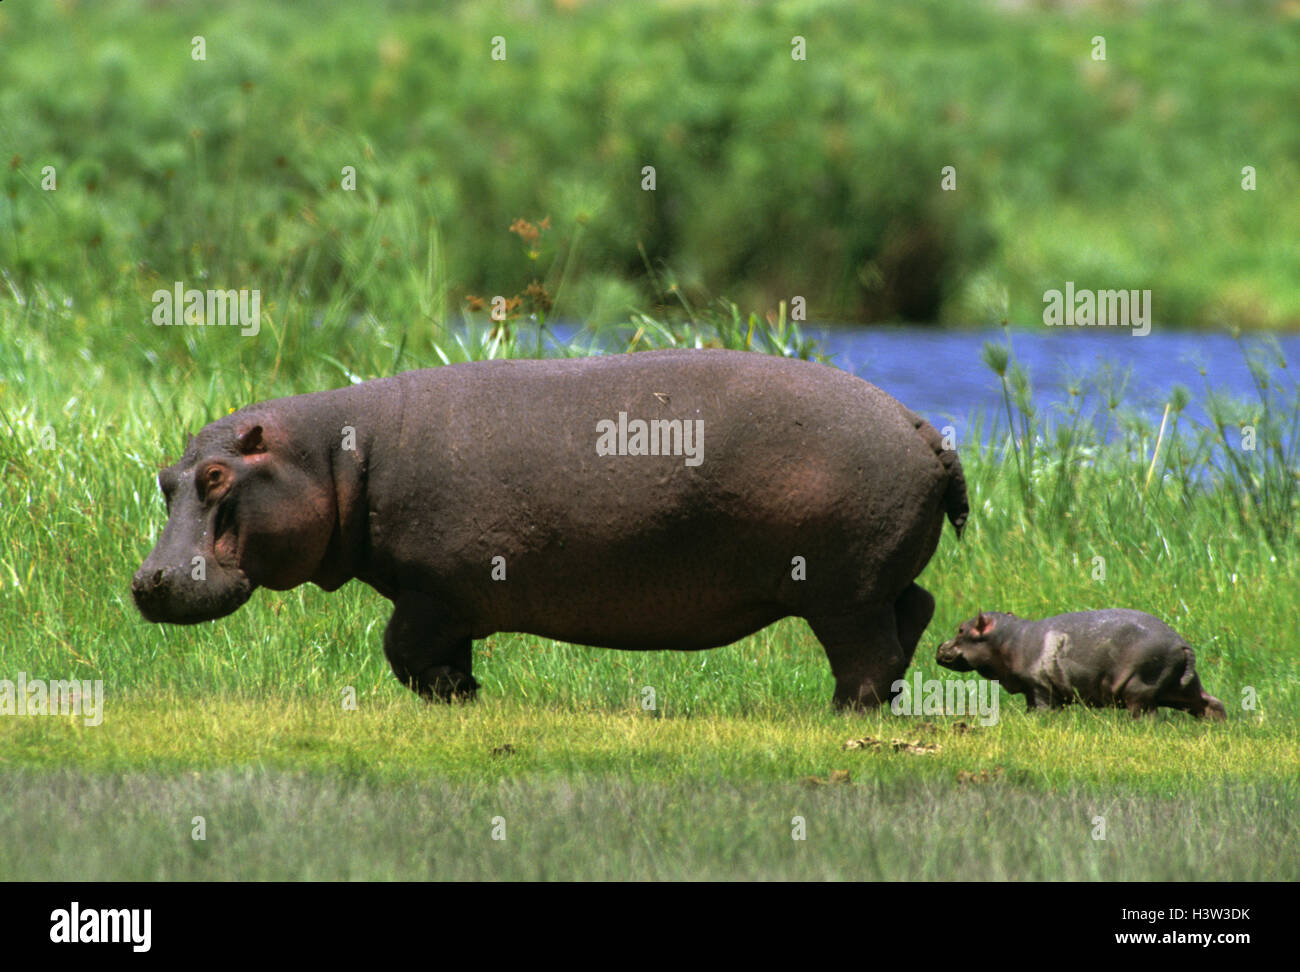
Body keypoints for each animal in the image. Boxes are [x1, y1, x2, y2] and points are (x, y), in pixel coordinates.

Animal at [133, 348, 968, 709]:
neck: (334, 456)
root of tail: (920, 423)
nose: (147, 581)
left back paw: (842, 711)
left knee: (869, 650)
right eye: (167, 478)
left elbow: (403, 649)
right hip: (873, 581)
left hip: (842, 592)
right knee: (915, 610)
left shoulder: (434, 590)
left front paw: (457, 695)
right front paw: (462, 695)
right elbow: (430, 651)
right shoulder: (446, 599)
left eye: (217, 478)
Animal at [935, 609, 1226, 719]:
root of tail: (1181, 643)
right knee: (1209, 703)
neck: (1009, 639)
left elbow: (1041, 709)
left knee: (1147, 715)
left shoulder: (1040, 687)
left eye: (961, 629)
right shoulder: (1031, 688)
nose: (939, 647)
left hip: (1139, 688)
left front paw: (1038, 722)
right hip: (1181, 687)